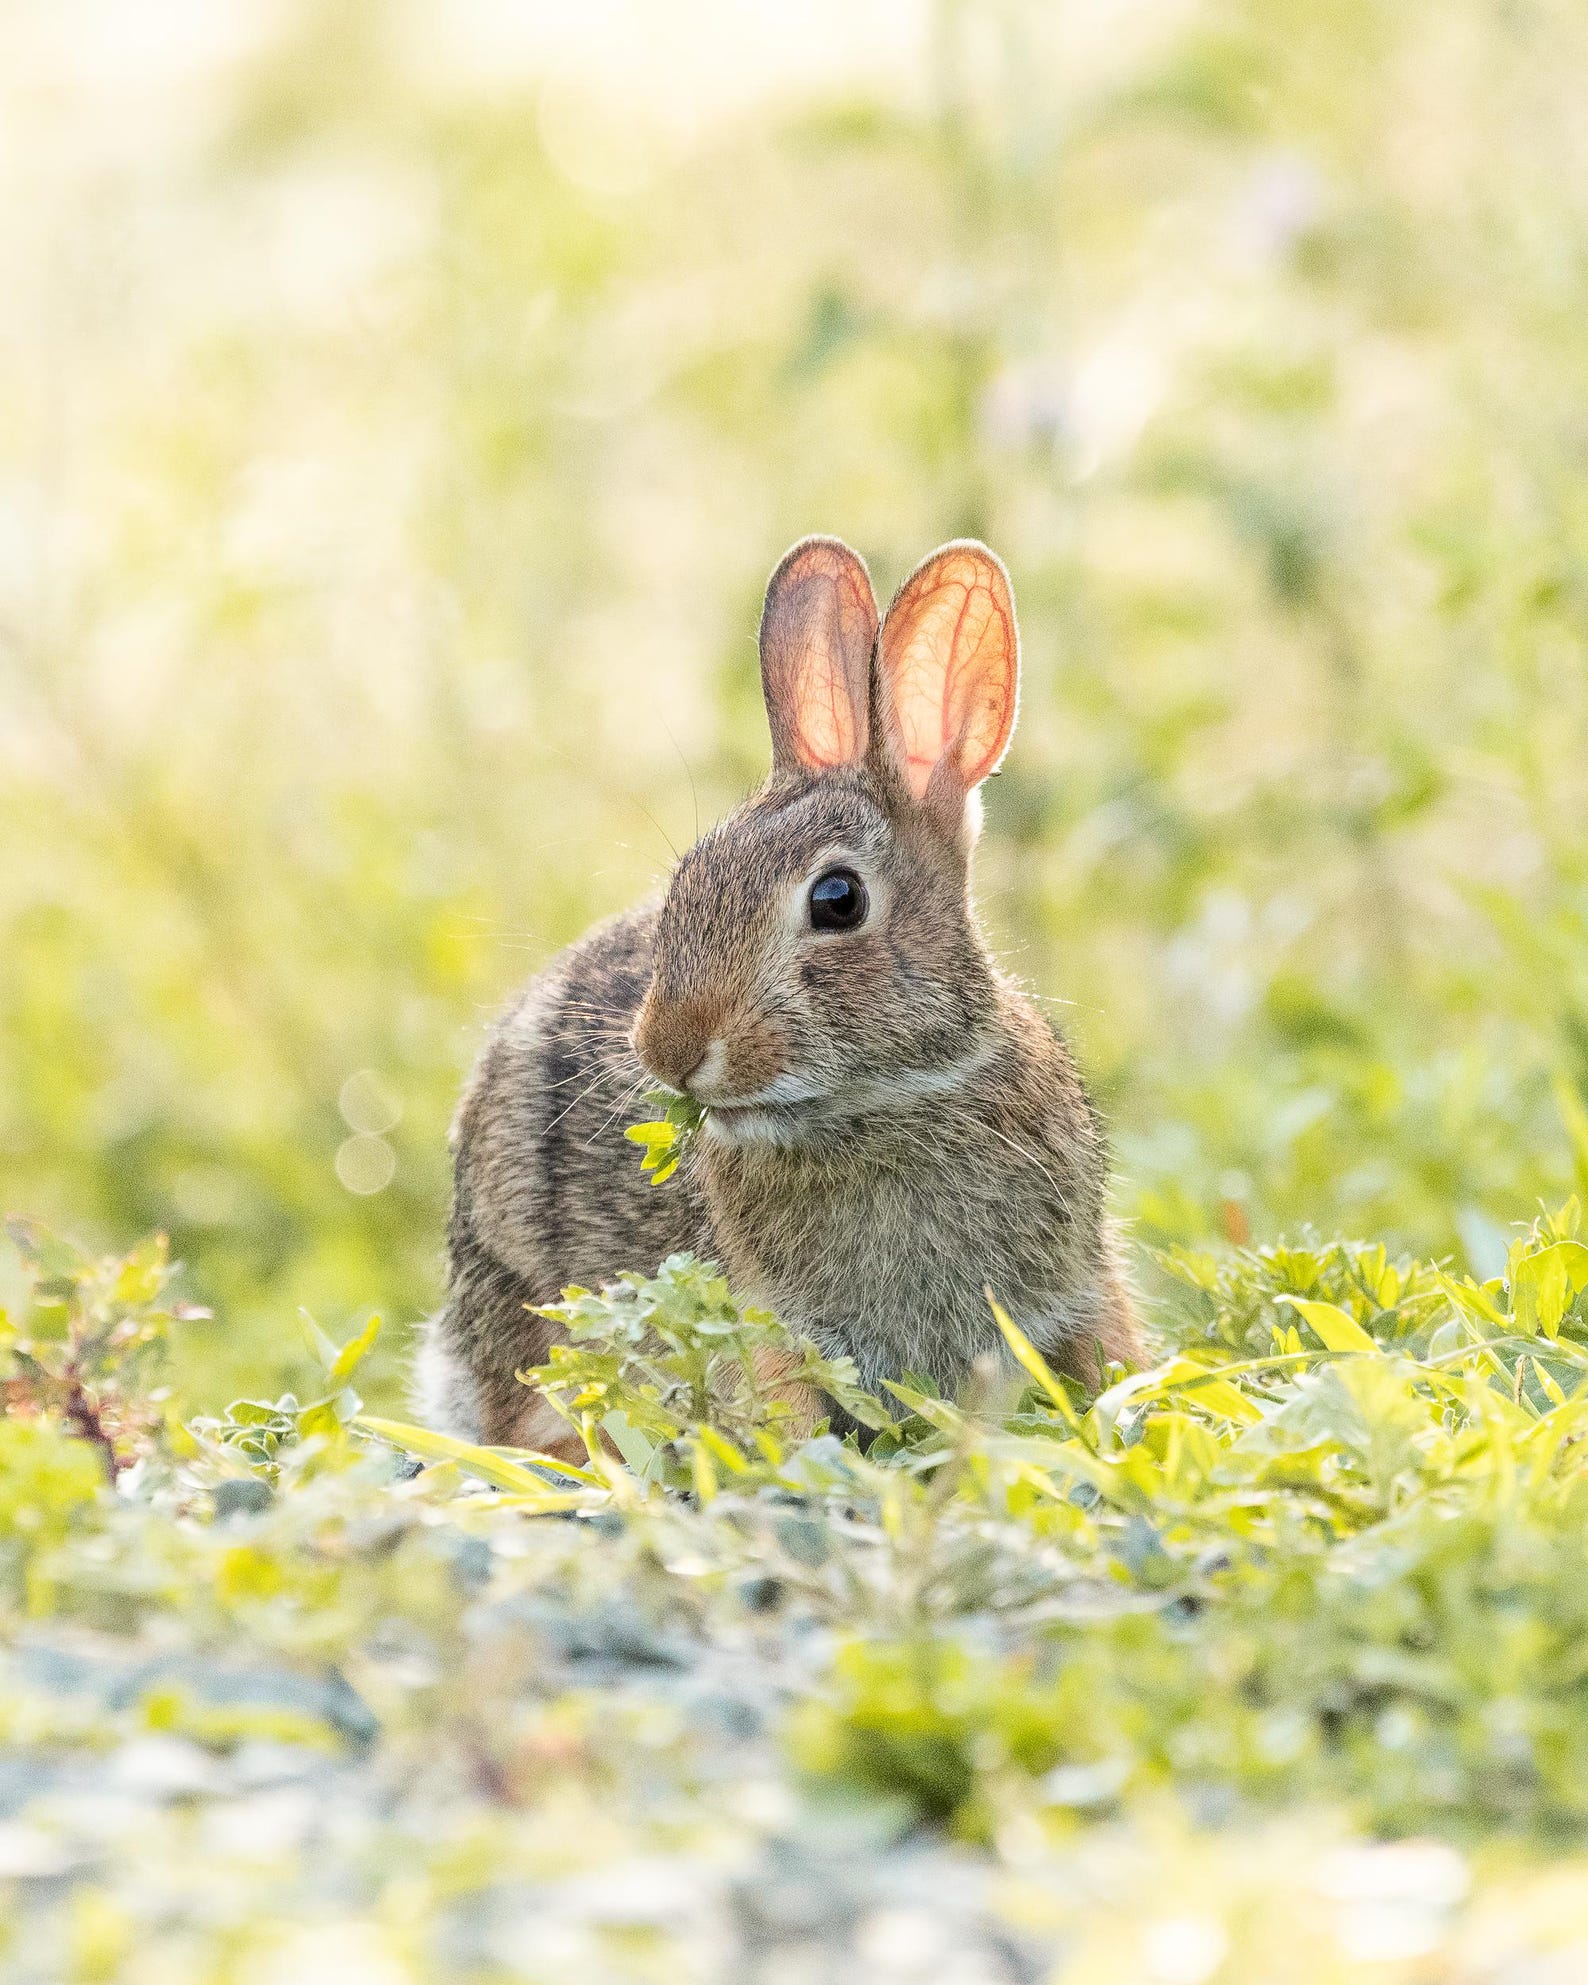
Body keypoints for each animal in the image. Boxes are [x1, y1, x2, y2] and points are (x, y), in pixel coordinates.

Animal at [415, 535, 1140, 1452]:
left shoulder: (1074, 1284)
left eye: (838, 899)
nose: (669, 1049)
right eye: (684, 884)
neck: (883, 1107)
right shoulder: (762, 1320)